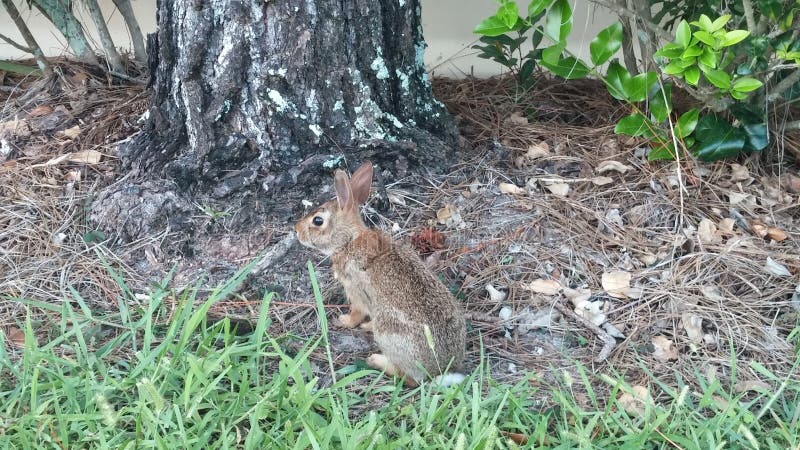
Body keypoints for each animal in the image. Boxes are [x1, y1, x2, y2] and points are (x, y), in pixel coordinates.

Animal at [294, 161, 466, 387]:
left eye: (317, 220)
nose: (296, 230)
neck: (348, 240)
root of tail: (438, 371)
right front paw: (365, 324)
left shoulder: (355, 291)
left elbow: (357, 313)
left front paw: (344, 321)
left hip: (388, 334)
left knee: (408, 378)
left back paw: (376, 360)